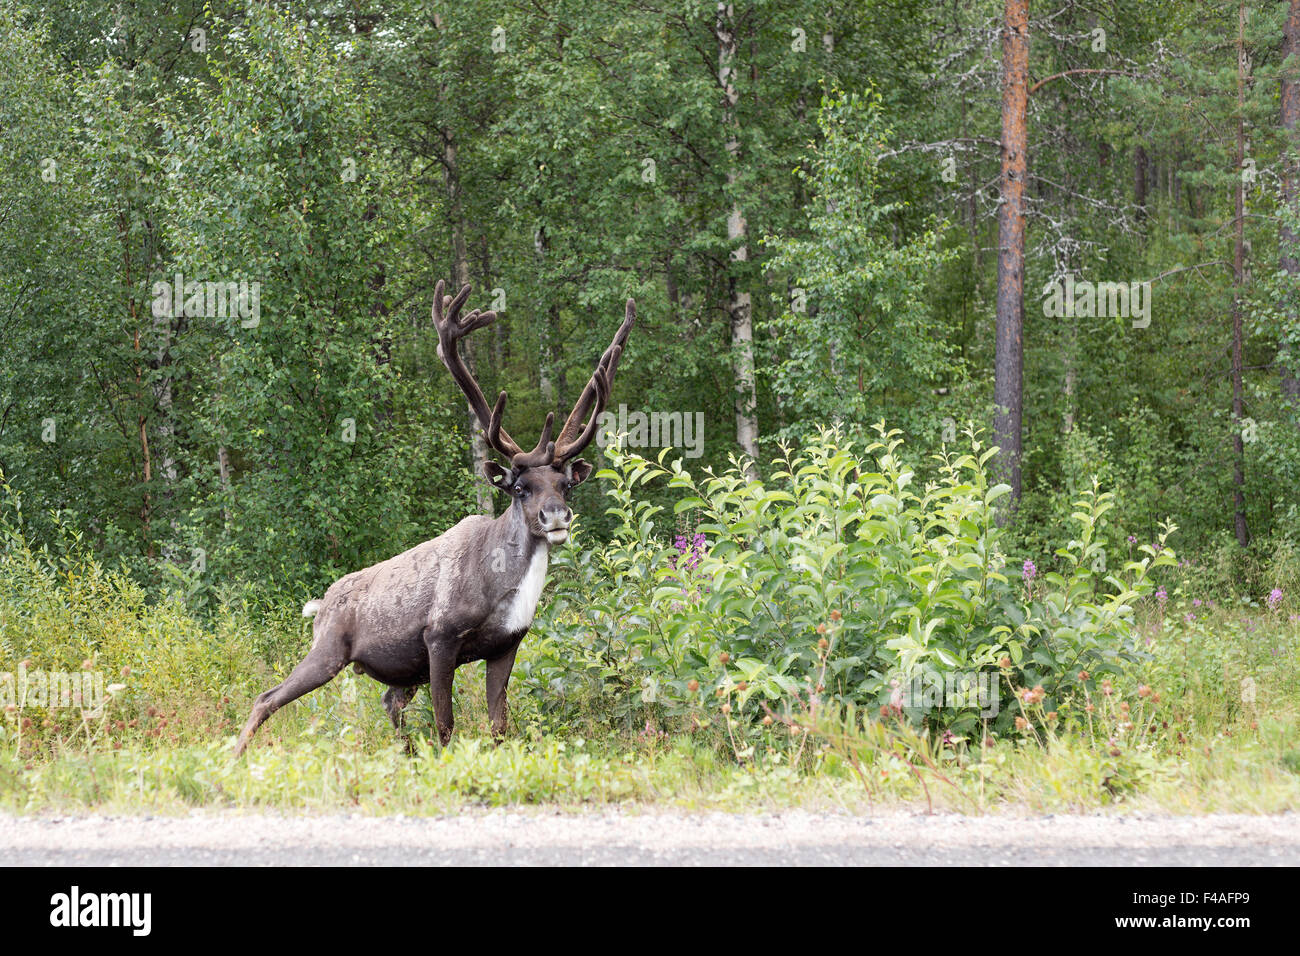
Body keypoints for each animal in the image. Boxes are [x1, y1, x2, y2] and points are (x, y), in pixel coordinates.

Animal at [234, 280, 635, 756]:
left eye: (565, 485)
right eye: (520, 488)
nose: (556, 515)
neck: (502, 584)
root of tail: (320, 604)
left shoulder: (507, 645)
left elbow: (499, 726)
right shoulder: (439, 638)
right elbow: (446, 724)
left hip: (400, 671)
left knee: (390, 703)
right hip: (330, 649)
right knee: (265, 698)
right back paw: (234, 756)